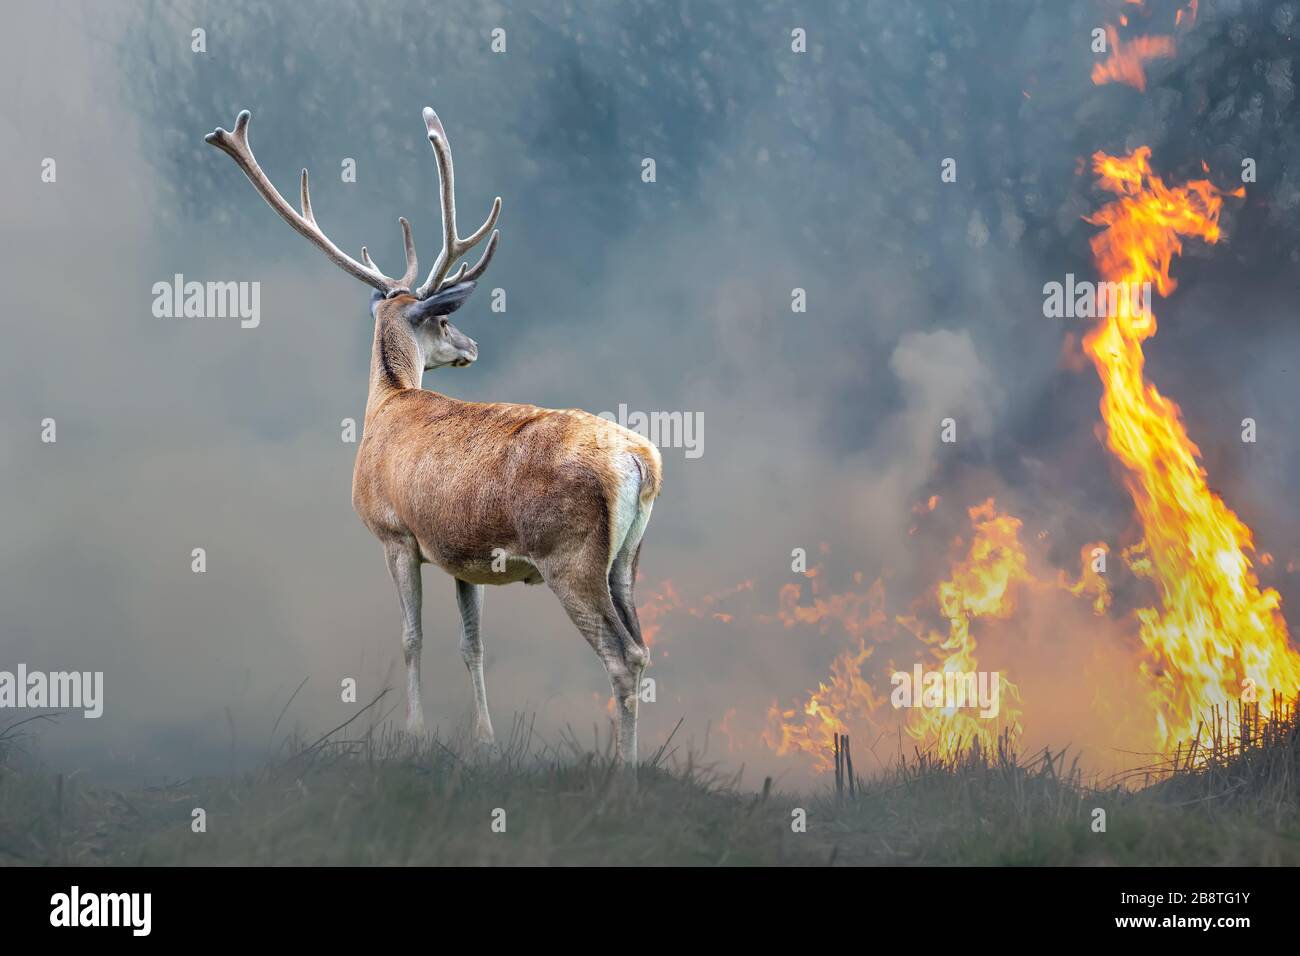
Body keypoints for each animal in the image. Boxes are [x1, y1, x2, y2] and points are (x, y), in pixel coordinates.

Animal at [205, 107, 661, 772]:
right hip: (627, 559)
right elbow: (472, 644)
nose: (471, 345)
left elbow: (411, 637)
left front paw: (416, 734)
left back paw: (623, 772)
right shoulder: (460, 555)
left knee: (622, 657)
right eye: (444, 320)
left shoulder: (394, 533)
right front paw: (486, 743)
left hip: (569, 555)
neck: (386, 405)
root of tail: (639, 460)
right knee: (644, 648)